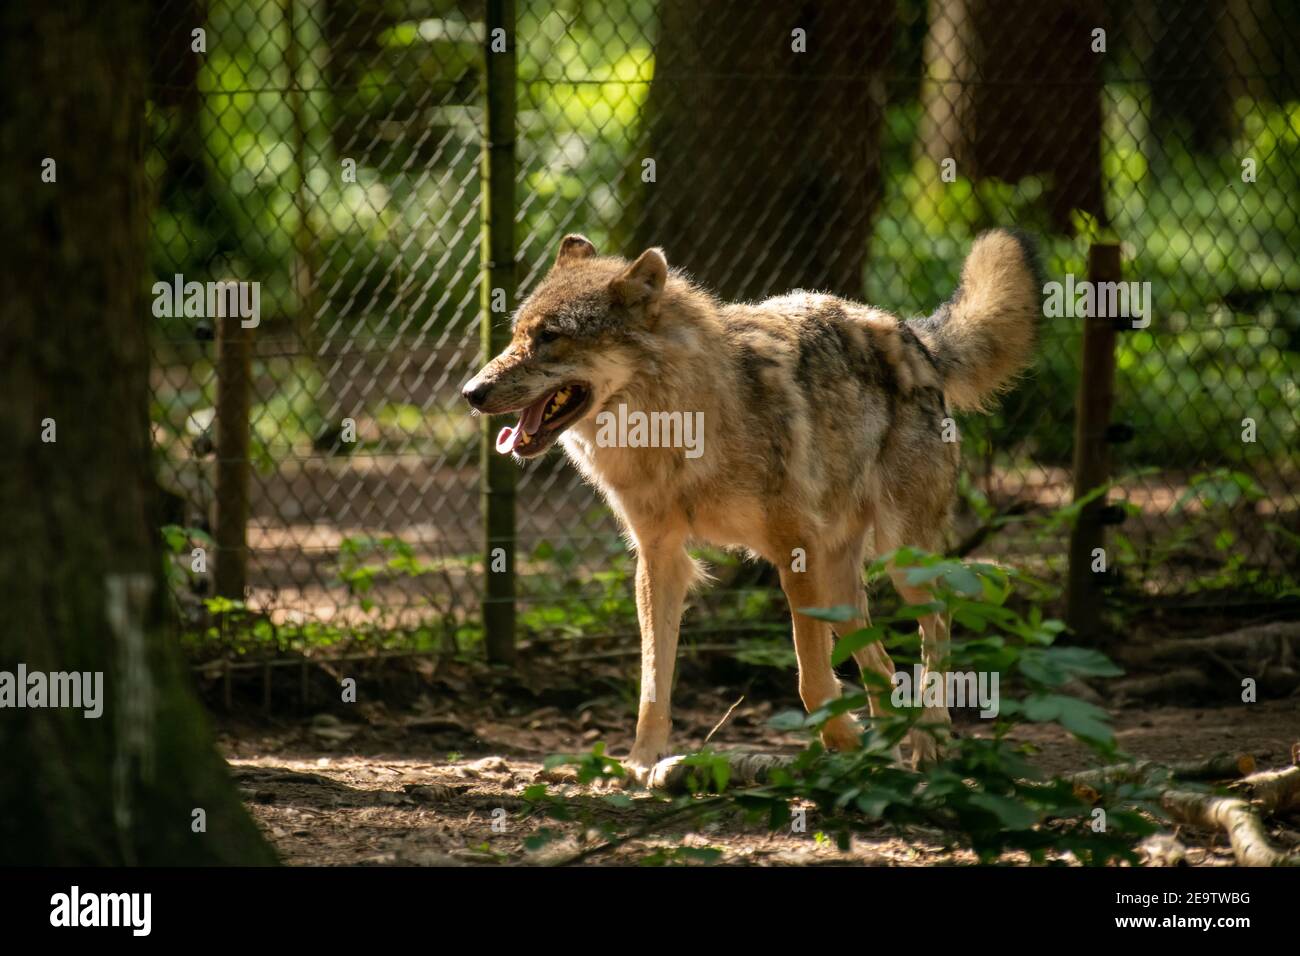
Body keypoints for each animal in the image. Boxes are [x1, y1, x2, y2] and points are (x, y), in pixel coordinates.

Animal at [463, 230, 1040, 782]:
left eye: (550, 337)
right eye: (517, 334)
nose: (471, 392)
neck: (678, 430)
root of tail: (915, 336)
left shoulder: (794, 553)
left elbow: (812, 679)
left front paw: (842, 743)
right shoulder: (659, 558)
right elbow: (653, 682)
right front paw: (641, 764)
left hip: (903, 562)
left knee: (937, 630)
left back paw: (927, 744)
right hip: (842, 586)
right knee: (882, 664)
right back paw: (883, 754)